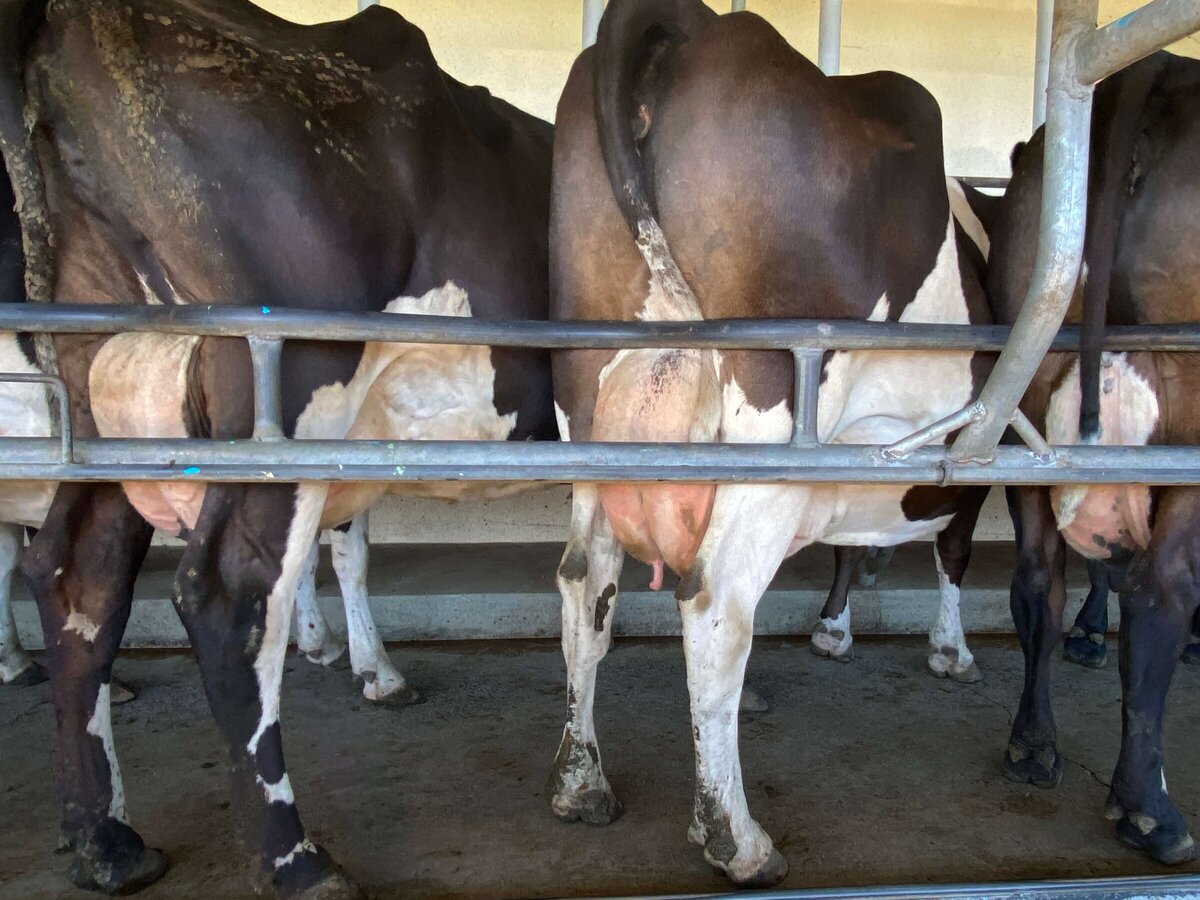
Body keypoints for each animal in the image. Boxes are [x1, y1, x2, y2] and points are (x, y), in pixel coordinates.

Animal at [0, 0, 555, 895]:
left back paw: (105, 839)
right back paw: (293, 858)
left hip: (110, 394)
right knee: (230, 594)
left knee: (76, 574)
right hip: (286, 388)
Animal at [549, 0, 997, 885]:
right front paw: (950, 650)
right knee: (717, 603)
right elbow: (960, 549)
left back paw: (582, 784)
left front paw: (839, 628)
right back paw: (736, 838)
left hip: (590, 405)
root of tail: (700, 25)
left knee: (585, 584)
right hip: (776, 417)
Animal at [990, 50, 1200, 866]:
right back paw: (1148, 808)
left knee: (1036, 583)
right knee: (1161, 593)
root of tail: (1156, 69)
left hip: (1028, 411)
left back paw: (1032, 745)